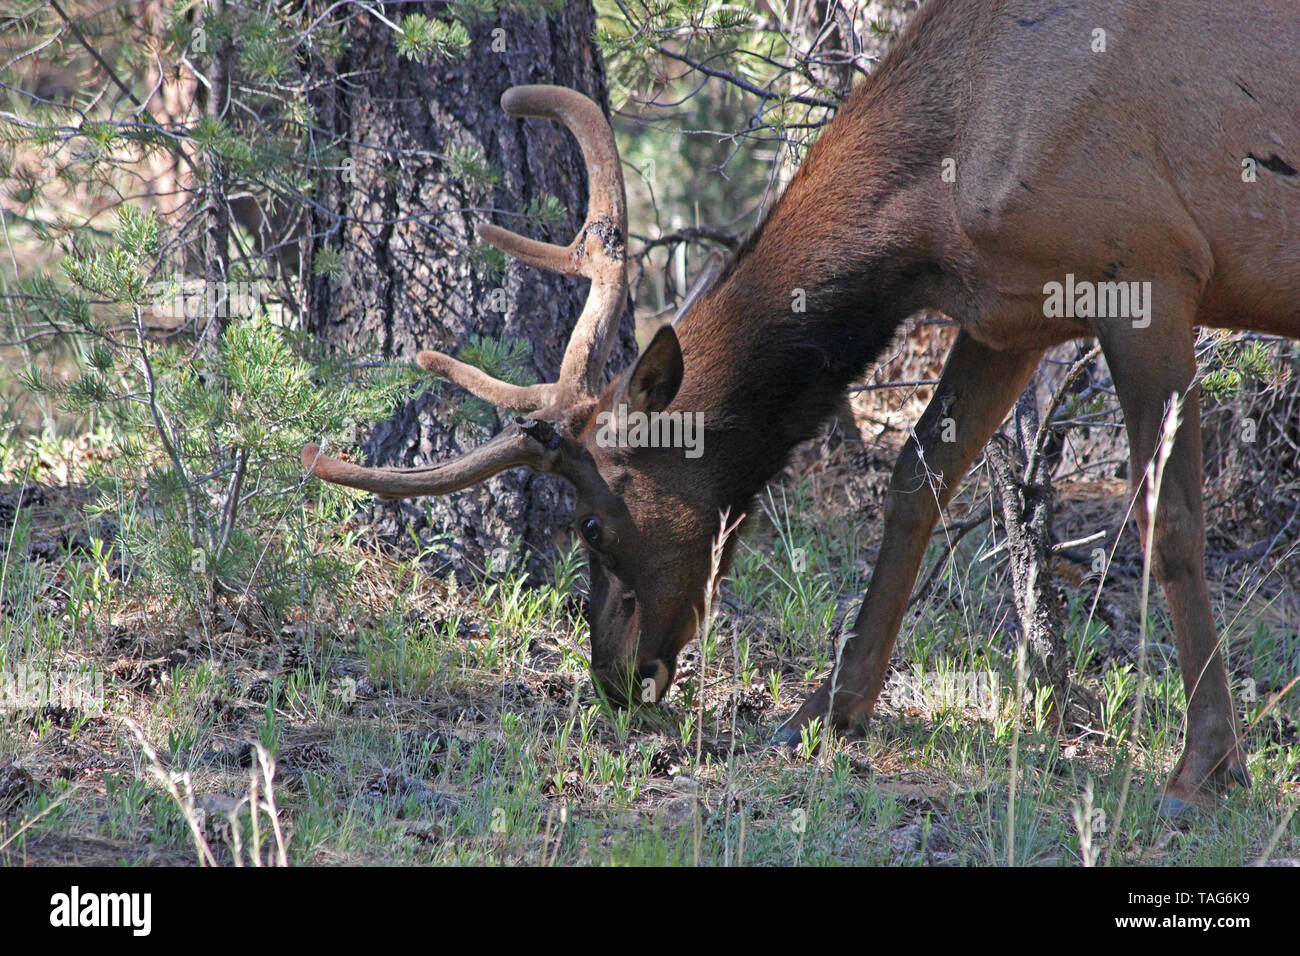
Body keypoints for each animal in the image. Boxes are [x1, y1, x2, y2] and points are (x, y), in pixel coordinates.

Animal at [302, 0, 1300, 812]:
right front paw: (826, 708)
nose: (614, 676)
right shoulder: (1009, 314)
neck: (950, 169)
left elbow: (1170, 524)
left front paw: (1207, 767)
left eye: (588, 522)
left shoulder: (1150, 275)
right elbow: (915, 483)